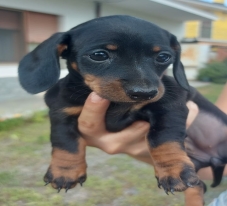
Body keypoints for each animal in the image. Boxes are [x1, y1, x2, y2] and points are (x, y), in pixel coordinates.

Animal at [18, 15, 227, 205]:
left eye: (163, 57)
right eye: (99, 55)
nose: (144, 93)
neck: (115, 104)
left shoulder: (170, 105)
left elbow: (164, 137)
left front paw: (173, 169)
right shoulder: (62, 111)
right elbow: (65, 141)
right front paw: (64, 171)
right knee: (198, 186)